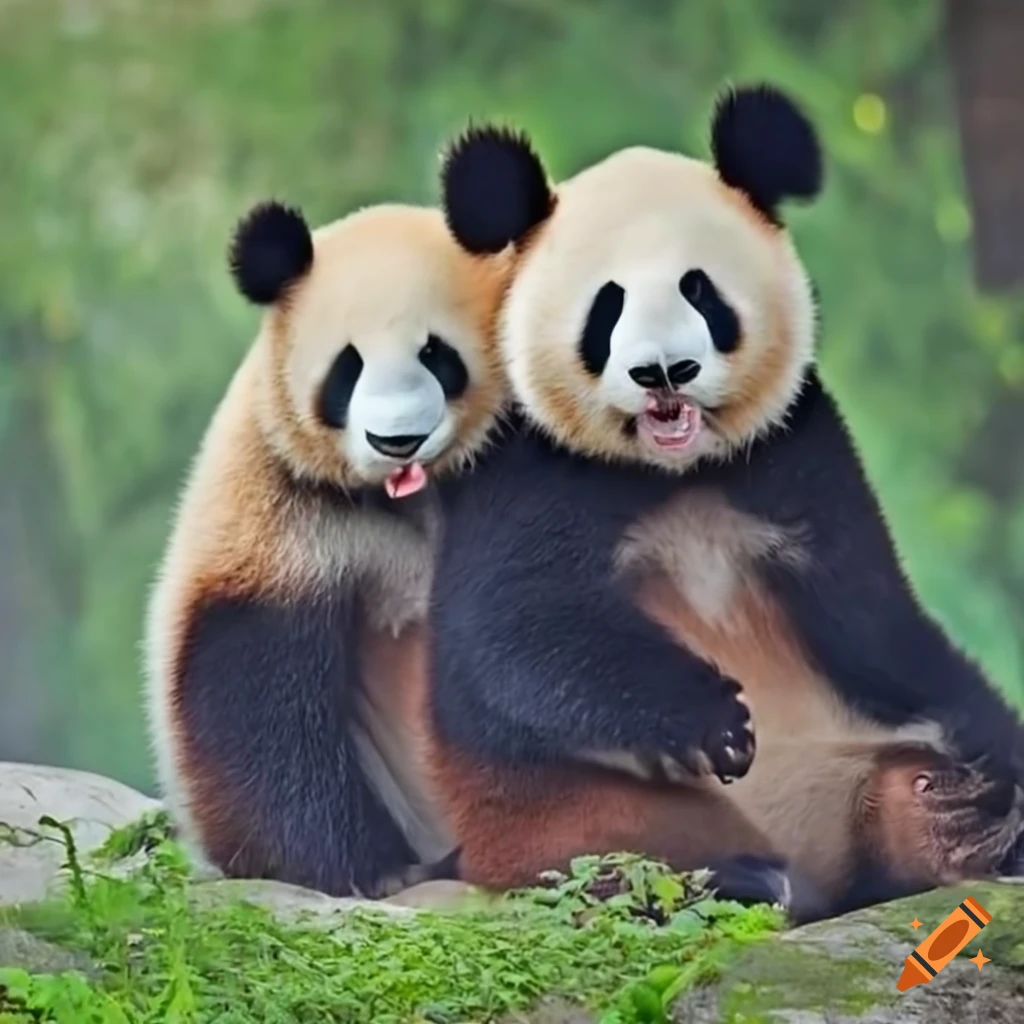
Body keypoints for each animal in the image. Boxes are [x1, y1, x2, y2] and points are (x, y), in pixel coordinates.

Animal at [144, 199, 509, 897]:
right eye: (349, 367)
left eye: (436, 354)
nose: (398, 439)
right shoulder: (283, 512)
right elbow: (257, 693)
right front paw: (374, 871)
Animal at [421, 83, 1024, 920]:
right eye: (607, 307)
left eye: (698, 291)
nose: (664, 372)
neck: (678, 468)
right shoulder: (532, 466)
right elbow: (515, 625)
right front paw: (717, 722)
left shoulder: (799, 450)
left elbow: (873, 610)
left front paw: (997, 748)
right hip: (563, 811)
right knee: (604, 860)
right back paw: (733, 879)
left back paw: (958, 821)